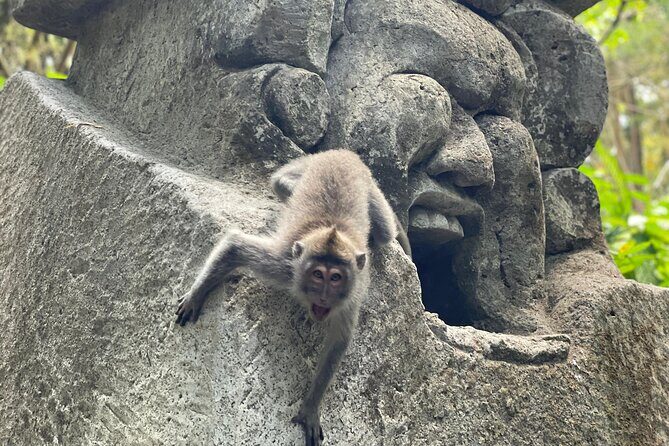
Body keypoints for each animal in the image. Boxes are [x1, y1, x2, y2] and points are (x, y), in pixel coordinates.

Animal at [175, 149, 410, 446]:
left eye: (336, 278)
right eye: (318, 275)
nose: (323, 297)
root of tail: (344, 153)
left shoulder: (352, 294)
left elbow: (339, 340)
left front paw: (311, 407)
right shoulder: (284, 266)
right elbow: (236, 247)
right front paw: (197, 294)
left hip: (369, 186)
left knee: (384, 232)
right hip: (313, 164)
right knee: (280, 182)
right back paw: (289, 188)